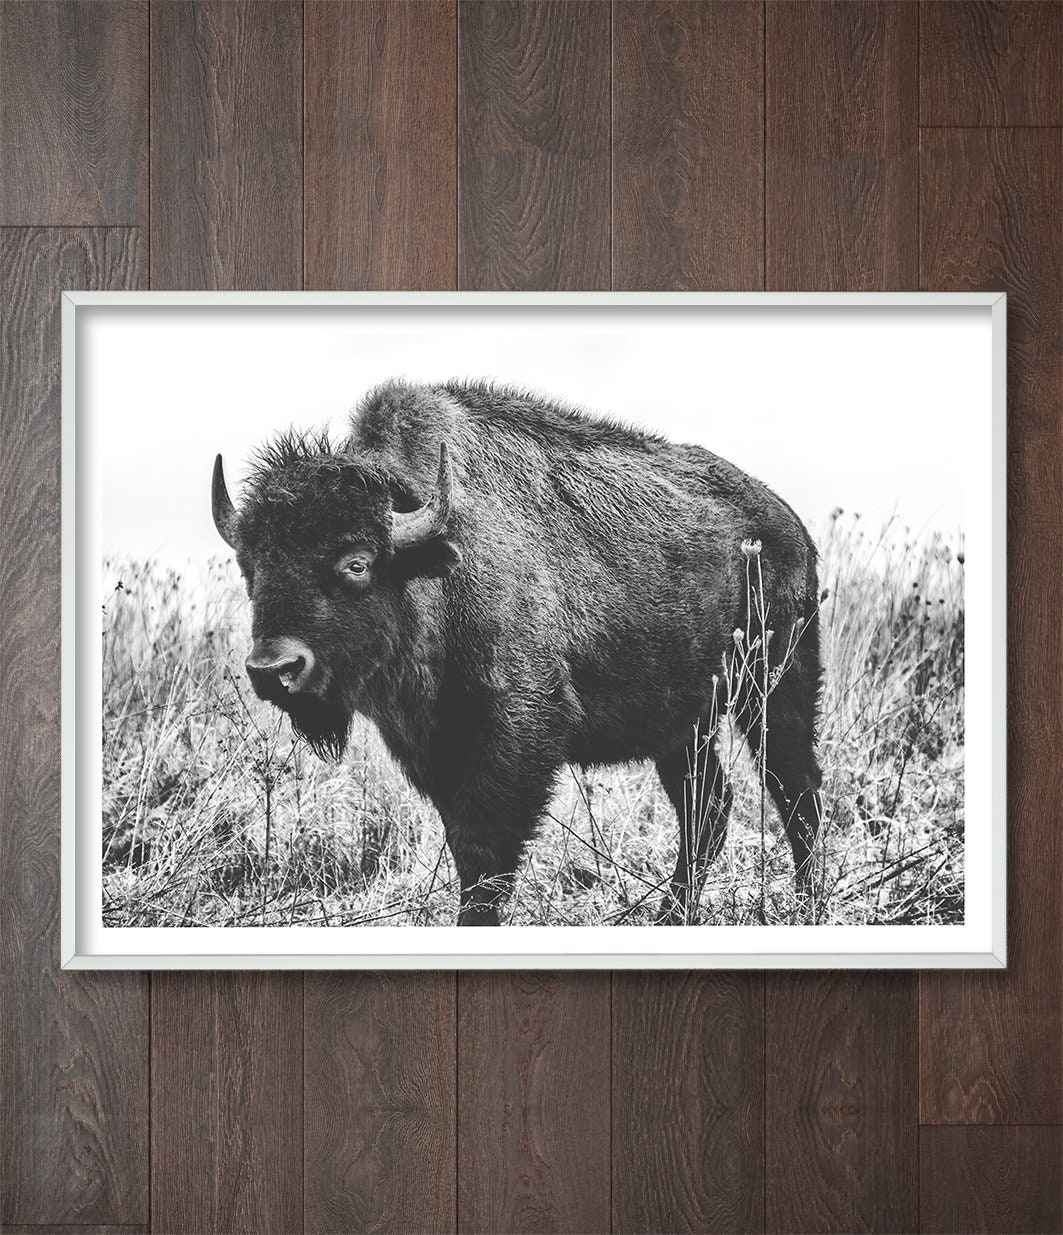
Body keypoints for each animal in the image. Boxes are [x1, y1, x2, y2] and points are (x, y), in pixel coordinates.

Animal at [212, 380, 823, 925]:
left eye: (356, 563)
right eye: (251, 568)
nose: (274, 669)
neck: (437, 565)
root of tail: (789, 524)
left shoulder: (515, 740)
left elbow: (485, 860)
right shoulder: (436, 753)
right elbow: (466, 850)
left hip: (774, 689)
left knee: (797, 791)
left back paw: (805, 905)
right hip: (683, 726)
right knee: (709, 808)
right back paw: (674, 917)